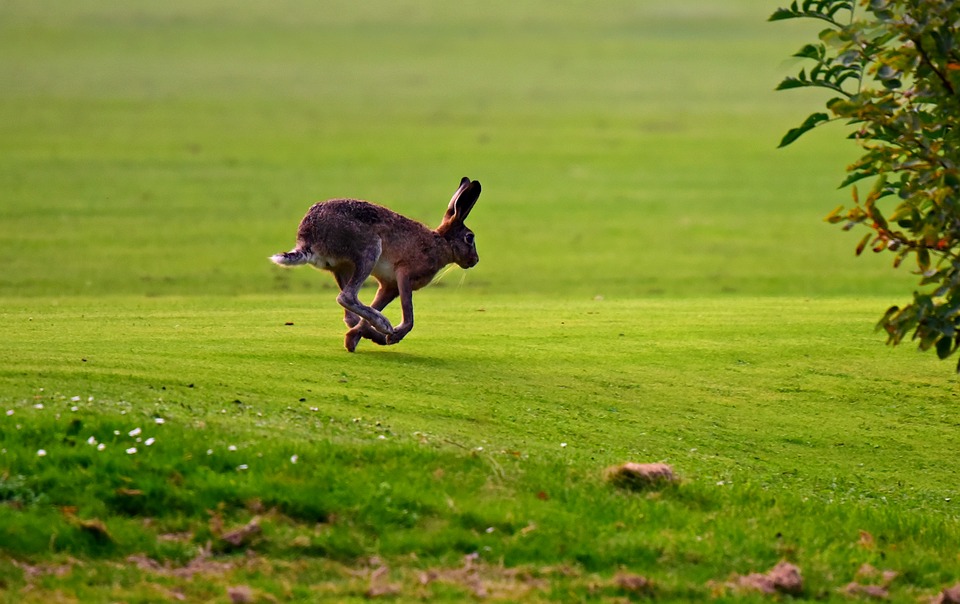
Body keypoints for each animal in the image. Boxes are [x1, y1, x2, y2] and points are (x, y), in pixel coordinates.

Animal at [271, 177, 481, 352]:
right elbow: (409, 315)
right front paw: (394, 335)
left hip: (343, 268)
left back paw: (375, 335)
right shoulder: (404, 275)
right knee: (346, 297)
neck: (441, 243)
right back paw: (384, 325)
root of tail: (307, 238)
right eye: (469, 238)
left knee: (350, 312)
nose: (475, 260)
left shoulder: (390, 286)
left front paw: (355, 339)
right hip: (369, 250)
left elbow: (376, 305)